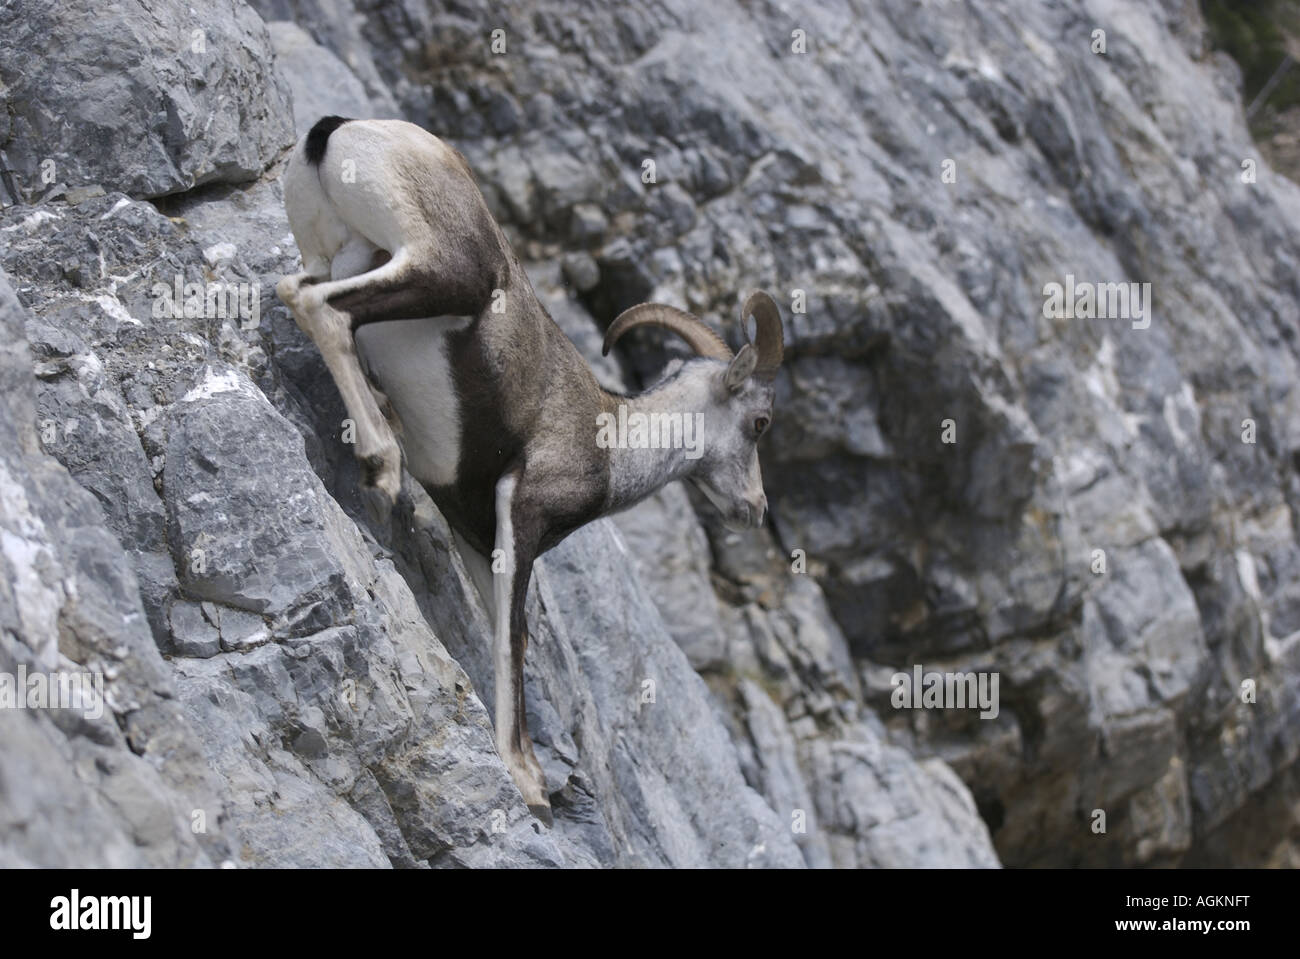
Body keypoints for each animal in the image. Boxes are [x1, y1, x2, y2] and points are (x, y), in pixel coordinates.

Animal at [276, 116, 783, 825]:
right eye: (760, 422)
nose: (754, 509)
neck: (610, 440)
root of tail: (344, 133)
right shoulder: (522, 516)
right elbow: (515, 642)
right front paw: (527, 780)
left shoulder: (478, 537)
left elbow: (503, 633)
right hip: (446, 272)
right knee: (316, 302)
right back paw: (380, 464)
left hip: (341, 251)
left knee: (309, 291)